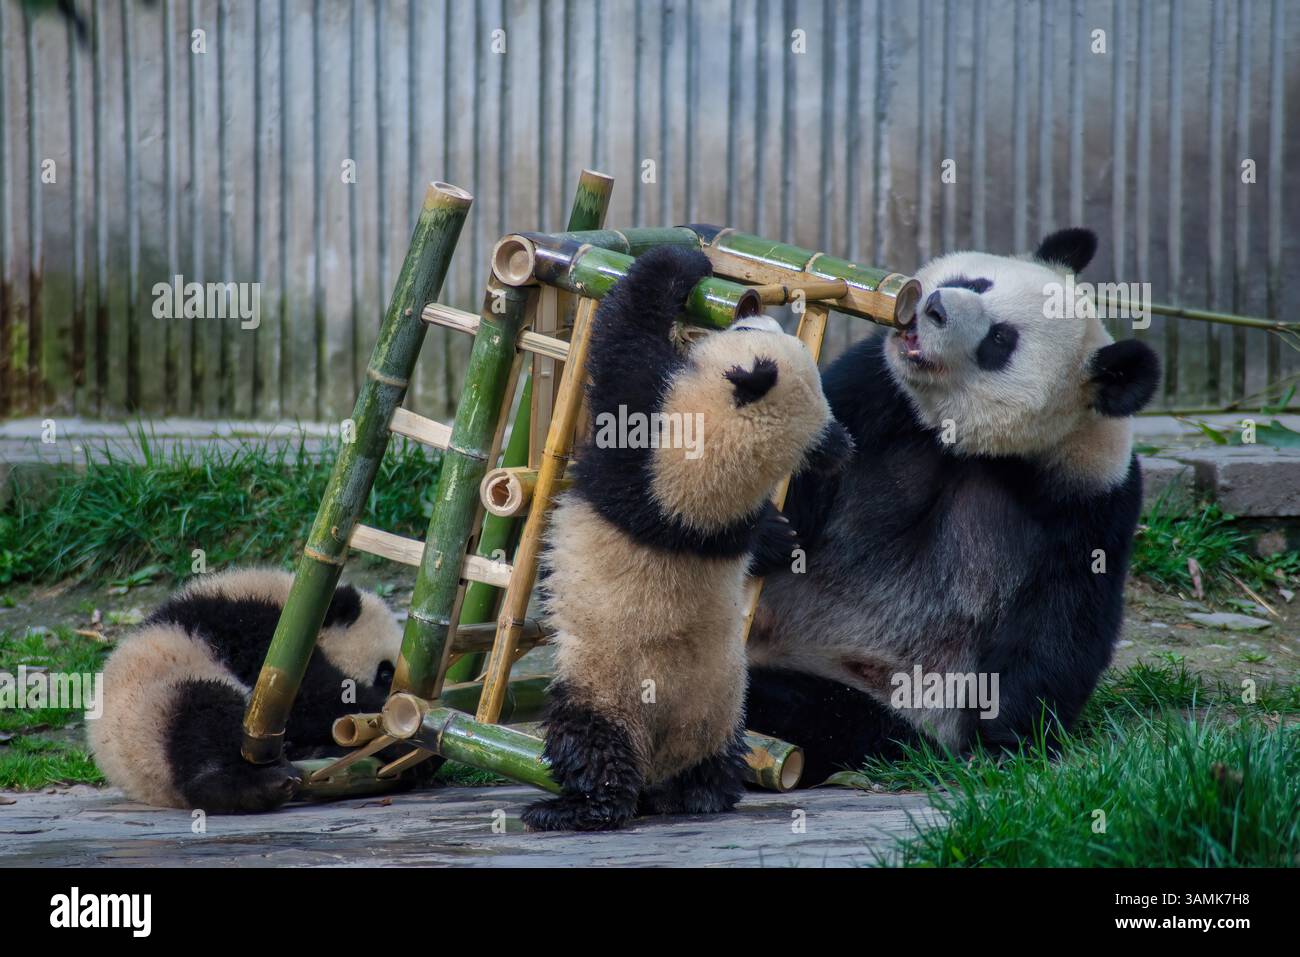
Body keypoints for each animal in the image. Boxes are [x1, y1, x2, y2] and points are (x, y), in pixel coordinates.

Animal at [87, 568, 402, 812]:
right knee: (203, 721)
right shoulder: (254, 631)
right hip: (157, 705)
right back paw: (259, 784)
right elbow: (308, 697)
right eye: (385, 672)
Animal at [521, 245, 853, 831]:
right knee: (715, 761)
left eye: (747, 327)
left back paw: (571, 808)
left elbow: (623, 339)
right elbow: (759, 536)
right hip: (722, 707)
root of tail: (661, 753)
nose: (751, 310)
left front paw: (678, 260)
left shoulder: (650, 447)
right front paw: (777, 536)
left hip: (602, 686)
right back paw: (703, 794)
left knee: (591, 746)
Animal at [745, 228, 1161, 783]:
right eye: (977, 282)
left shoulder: (1091, 504)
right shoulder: (874, 391)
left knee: (819, 715)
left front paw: (1005, 742)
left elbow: (1062, 621)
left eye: (1000, 341)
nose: (936, 306)